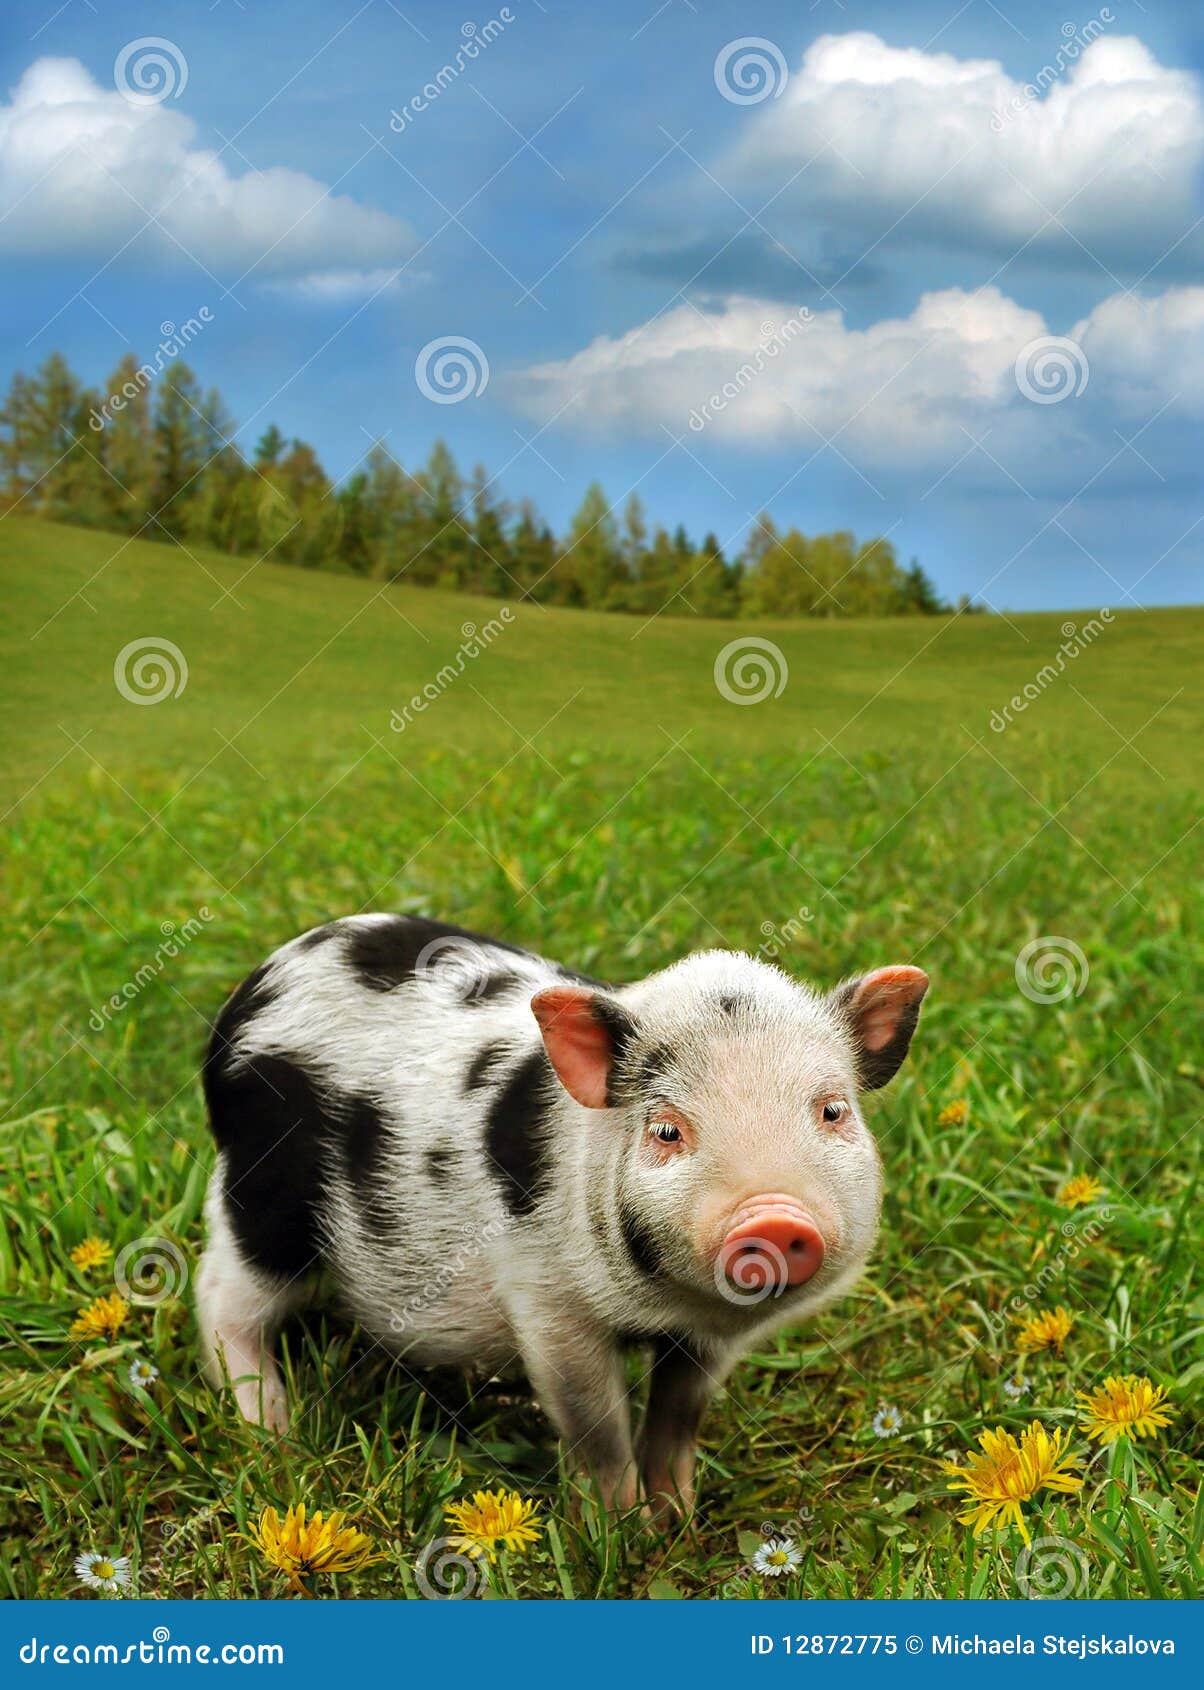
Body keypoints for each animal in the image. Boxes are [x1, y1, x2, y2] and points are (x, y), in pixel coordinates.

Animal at [196, 914, 928, 1513]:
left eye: (832, 1110)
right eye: (667, 1130)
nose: (773, 1216)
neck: (669, 1304)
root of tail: (247, 998)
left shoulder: (707, 1340)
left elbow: (680, 1413)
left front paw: (677, 1518)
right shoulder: (549, 1303)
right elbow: (593, 1422)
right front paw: (618, 1530)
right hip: (263, 1198)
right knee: (219, 1295)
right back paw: (274, 1438)